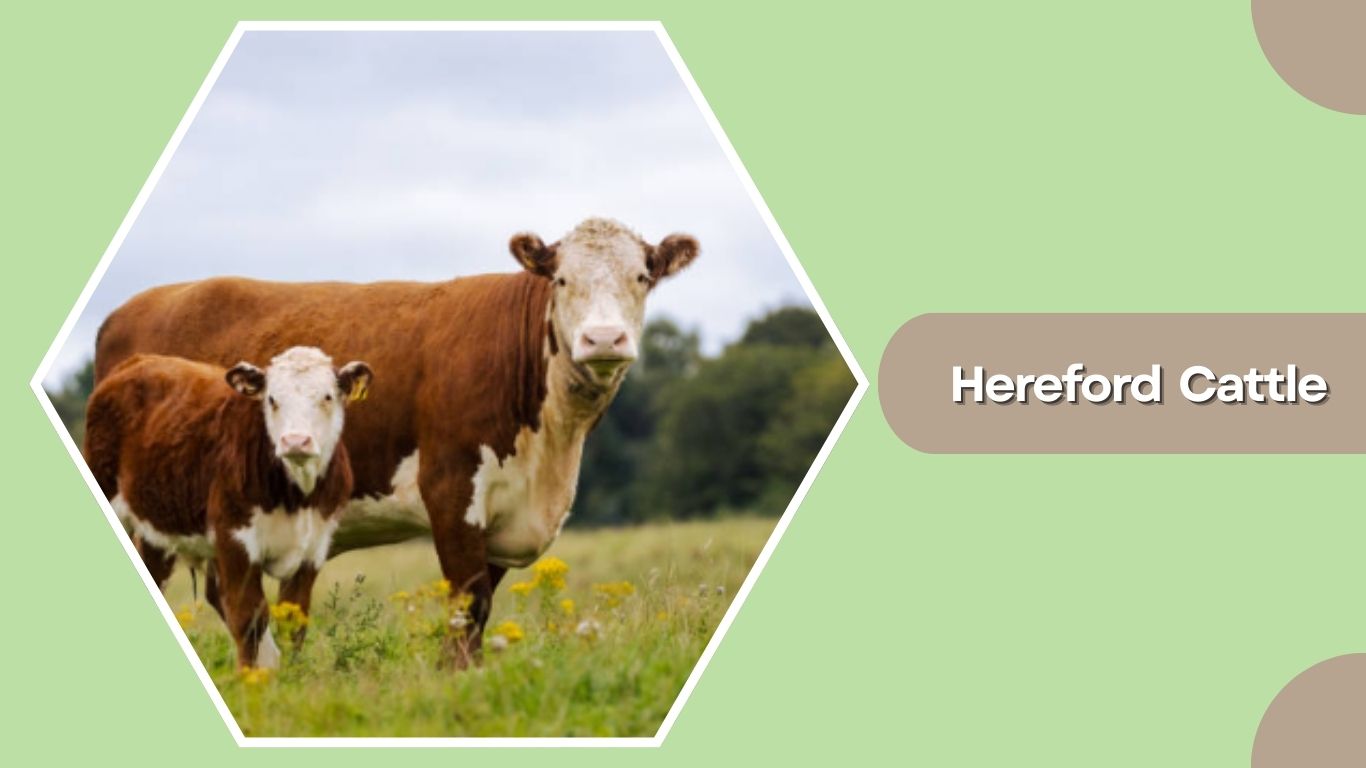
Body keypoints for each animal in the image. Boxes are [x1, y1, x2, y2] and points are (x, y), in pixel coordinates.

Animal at [83, 347, 374, 669]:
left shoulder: (314, 547)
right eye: (272, 399)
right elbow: (249, 619)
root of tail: (139, 360)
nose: (295, 441)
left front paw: (290, 674)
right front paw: (249, 677)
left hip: (155, 530)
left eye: (327, 397)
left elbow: (294, 621)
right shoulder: (234, 538)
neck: (296, 495)